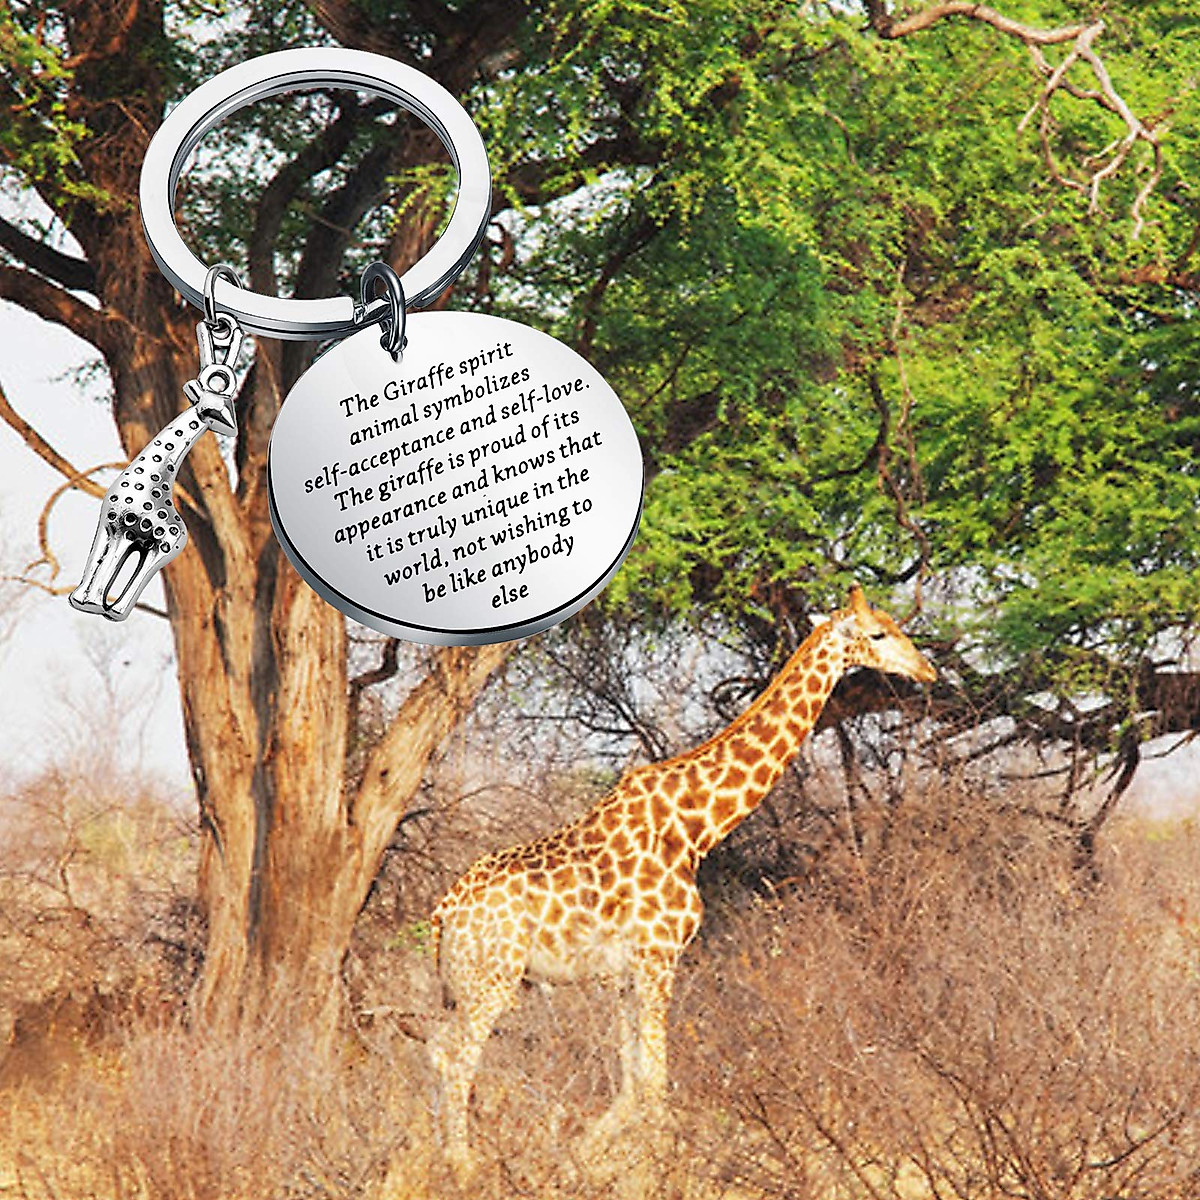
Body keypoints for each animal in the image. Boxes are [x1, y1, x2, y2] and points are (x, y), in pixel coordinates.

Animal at [70, 318, 241, 620]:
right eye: (214, 408)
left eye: (227, 407)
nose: (232, 426)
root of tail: (181, 533)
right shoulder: (109, 526)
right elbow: (96, 563)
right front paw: (84, 600)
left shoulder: (124, 532)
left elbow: (107, 566)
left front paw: (94, 603)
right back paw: (112, 608)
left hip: (161, 549)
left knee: (141, 576)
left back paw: (117, 610)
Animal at [427, 585, 936, 1172]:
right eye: (879, 633)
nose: (927, 670)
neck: (697, 826)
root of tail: (444, 913)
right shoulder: (658, 956)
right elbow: (654, 1081)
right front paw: (660, 1170)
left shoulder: (625, 971)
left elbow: (631, 1084)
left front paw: (583, 1158)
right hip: (492, 979)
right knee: (456, 1060)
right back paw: (461, 1167)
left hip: (464, 985)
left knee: (436, 1049)